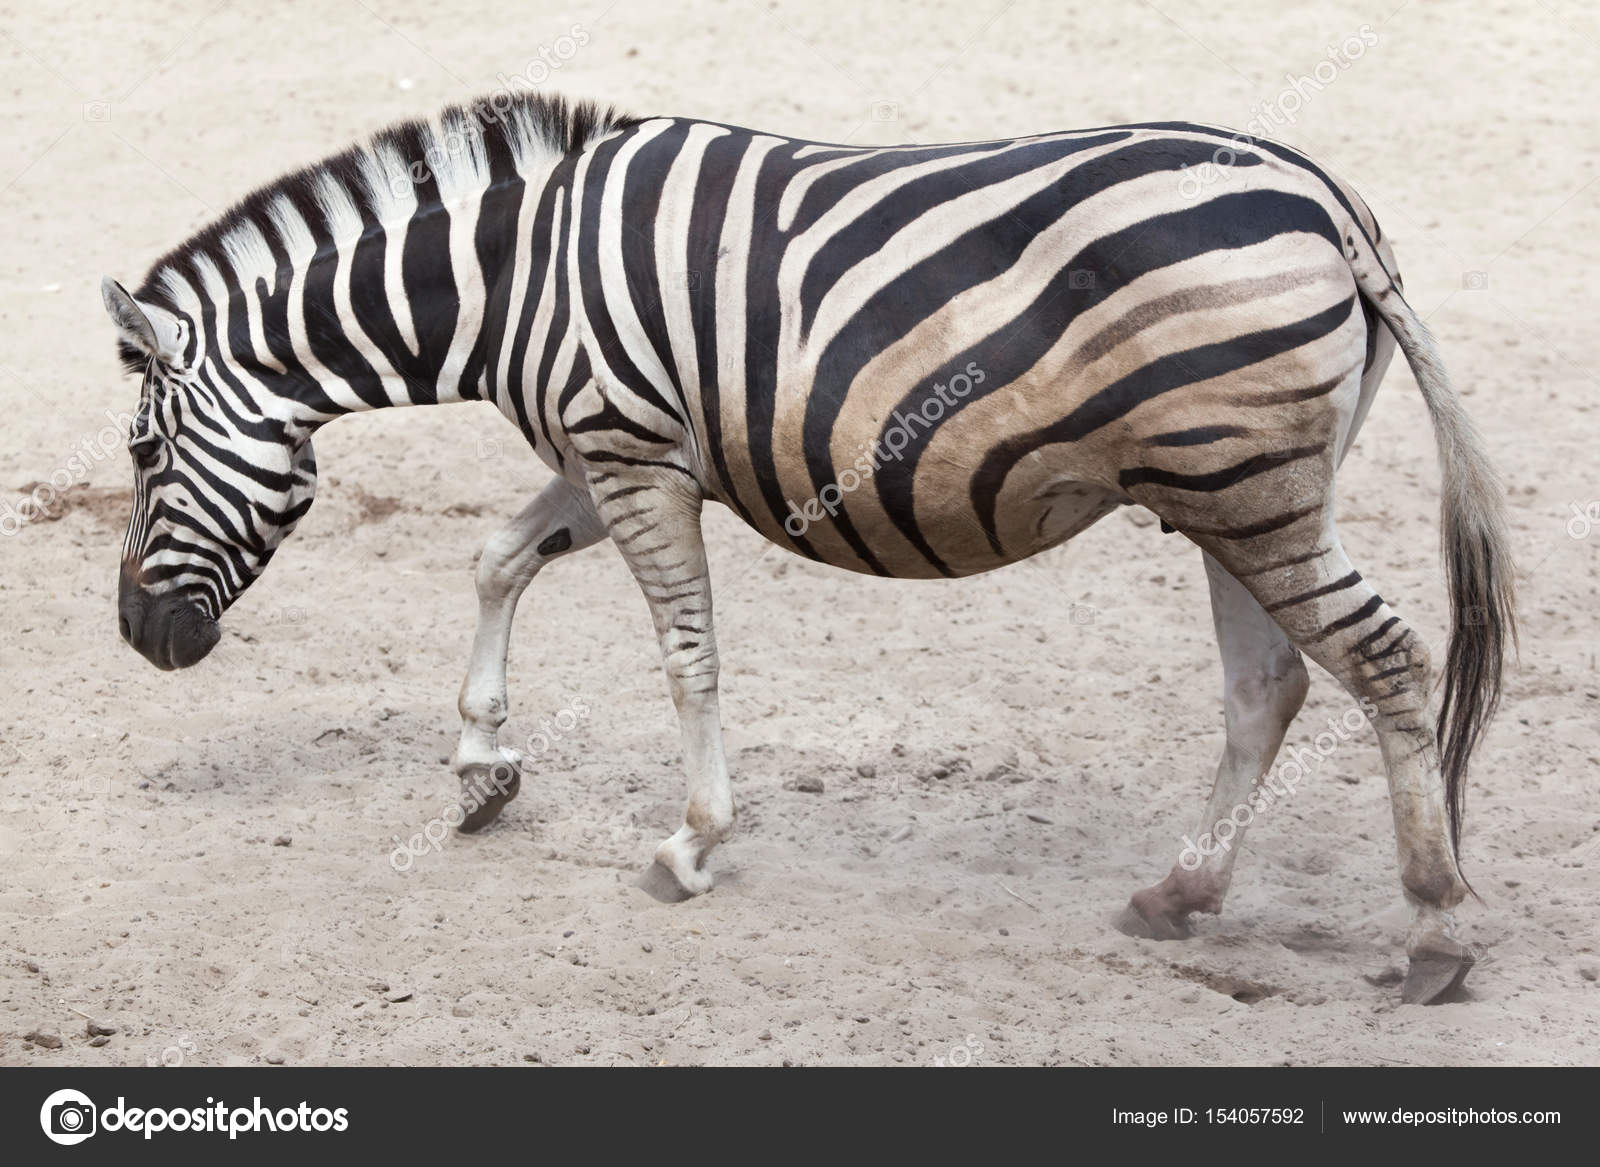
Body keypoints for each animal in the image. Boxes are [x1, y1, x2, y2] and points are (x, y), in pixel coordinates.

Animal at [103, 92, 1514, 1004]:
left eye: (140, 451)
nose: (137, 638)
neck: (518, 283)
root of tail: (1327, 201)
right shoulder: (605, 449)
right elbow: (495, 562)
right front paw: (482, 767)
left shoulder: (627, 448)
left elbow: (685, 652)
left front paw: (689, 844)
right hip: (1233, 489)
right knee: (1268, 683)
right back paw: (1180, 896)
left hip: (1243, 483)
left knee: (1383, 660)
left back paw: (1436, 931)